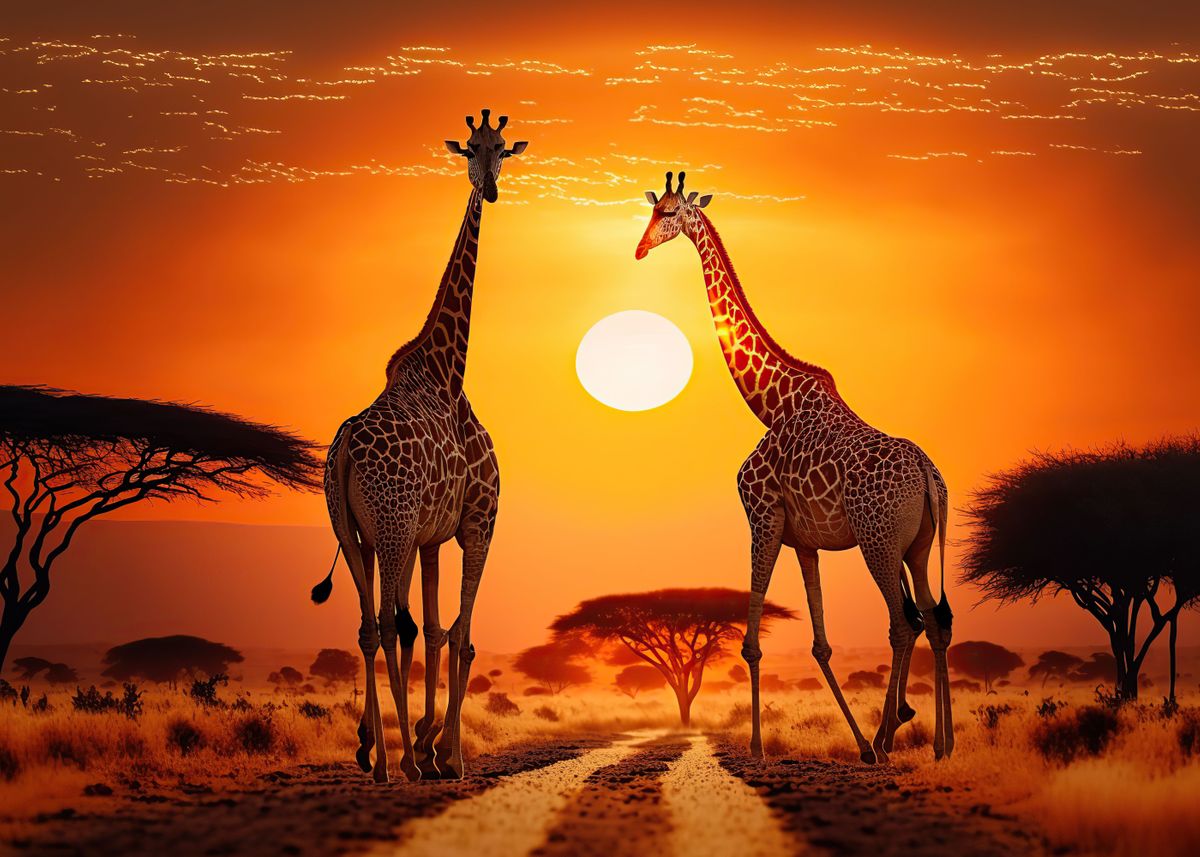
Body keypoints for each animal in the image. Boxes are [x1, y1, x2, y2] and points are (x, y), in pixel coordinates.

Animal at [310, 109, 527, 783]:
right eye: (473, 149)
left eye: (502, 149)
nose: (490, 187)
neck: (448, 369)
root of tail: (345, 449)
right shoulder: (480, 520)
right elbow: (459, 632)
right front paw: (446, 753)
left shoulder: (432, 535)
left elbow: (431, 629)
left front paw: (427, 744)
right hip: (393, 524)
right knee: (388, 621)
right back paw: (398, 760)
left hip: (356, 528)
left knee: (371, 625)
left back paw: (377, 753)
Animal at [635, 171, 954, 763]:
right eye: (651, 209)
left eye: (668, 213)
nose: (641, 247)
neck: (768, 402)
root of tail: (928, 477)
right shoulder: (805, 539)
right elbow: (820, 642)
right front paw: (861, 743)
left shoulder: (762, 518)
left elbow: (752, 644)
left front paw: (759, 746)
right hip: (920, 546)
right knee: (935, 618)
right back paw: (940, 742)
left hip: (878, 543)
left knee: (903, 624)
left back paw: (891, 733)